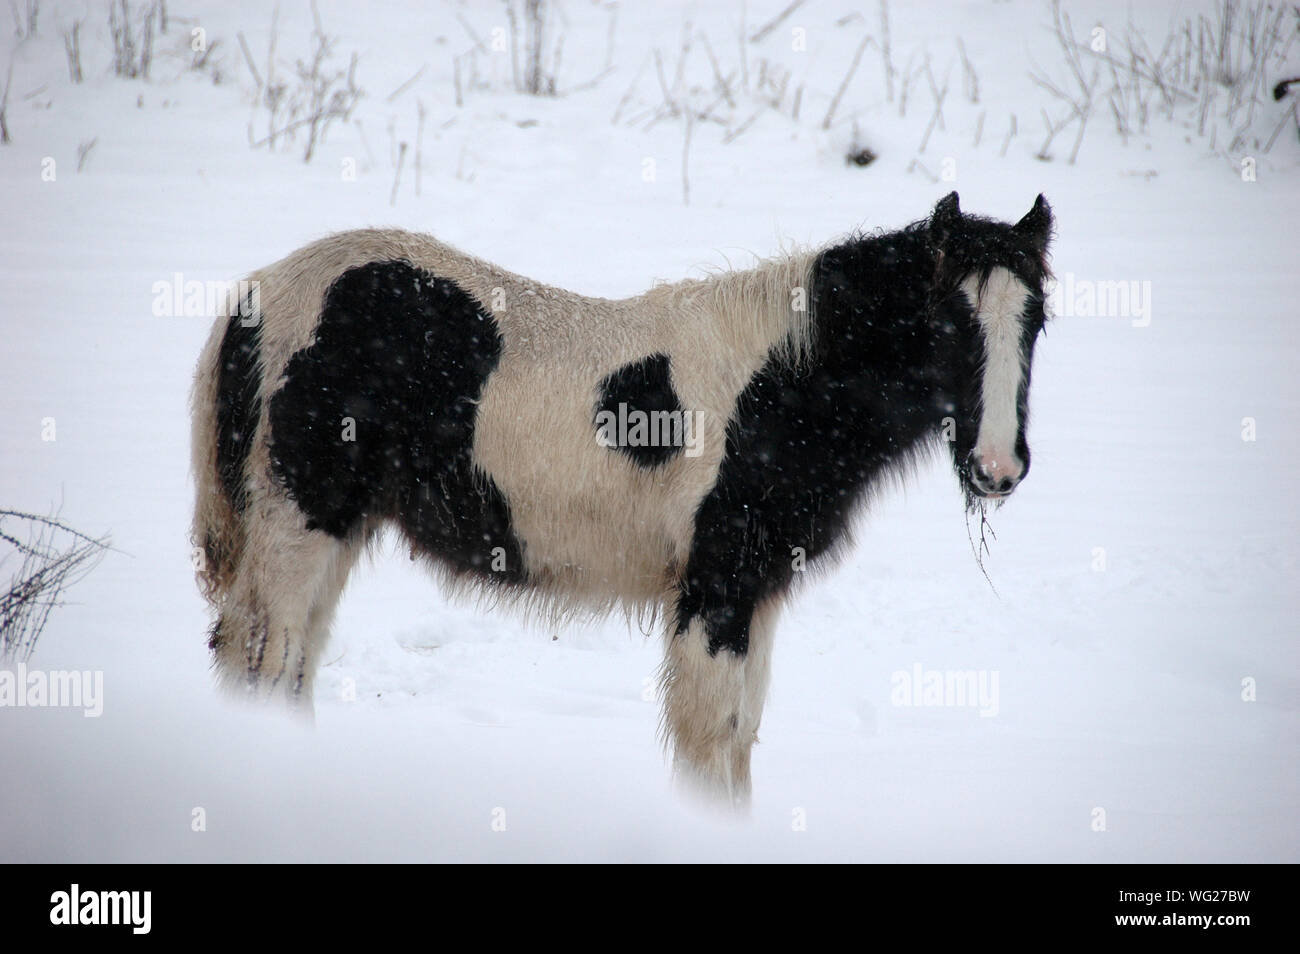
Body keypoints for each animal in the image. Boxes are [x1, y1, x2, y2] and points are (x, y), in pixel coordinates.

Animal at [191, 191, 1054, 806]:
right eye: (949, 323)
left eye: (1037, 322)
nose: (997, 468)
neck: (778, 393)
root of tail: (262, 293)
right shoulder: (715, 589)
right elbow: (711, 739)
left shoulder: (756, 592)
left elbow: (740, 737)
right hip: (299, 525)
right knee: (268, 661)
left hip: (334, 530)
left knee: (282, 665)